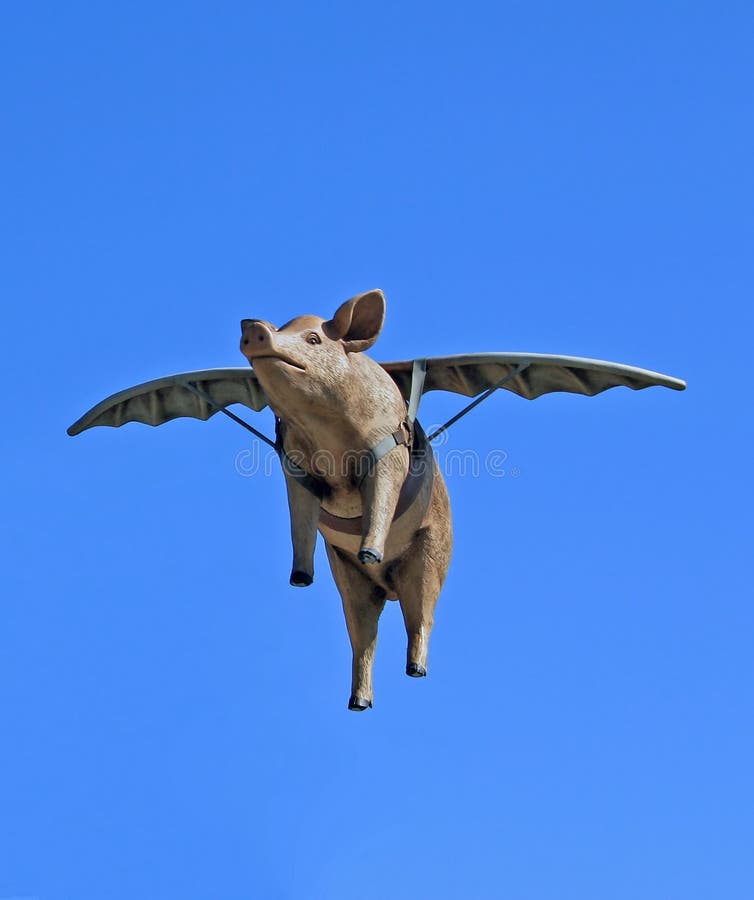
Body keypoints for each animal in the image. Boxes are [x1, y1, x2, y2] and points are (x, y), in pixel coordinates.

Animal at [240, 289, 452, 711]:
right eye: (283, 328)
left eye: (314, 339)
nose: (255, 328)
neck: (328, 436)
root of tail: (388, 587)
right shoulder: (294, 464)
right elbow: (301, 519)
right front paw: (299, 578)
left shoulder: (387, 452)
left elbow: (382, 495)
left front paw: (370, 550)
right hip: (347, 575)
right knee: (363, 634)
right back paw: (358, 702)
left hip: (432, 550)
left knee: (422, 614)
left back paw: (415, 669)